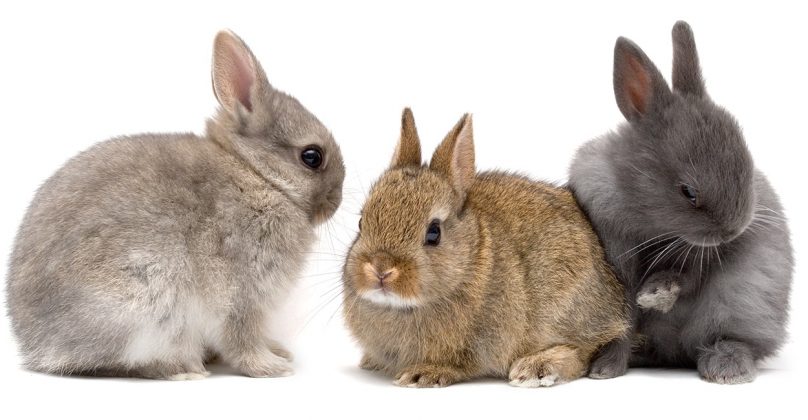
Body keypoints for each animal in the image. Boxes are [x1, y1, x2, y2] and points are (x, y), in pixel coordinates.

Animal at [6, 30, 345, 379]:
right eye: (312, 157)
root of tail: (36, 346)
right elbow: (241, 337)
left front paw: (279, 352)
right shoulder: (241, 293)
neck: (259, 175)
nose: (336, 201)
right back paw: (184, 369)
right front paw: (272, 366)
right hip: (145, 304)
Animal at [341, 108, 629, 388]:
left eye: (433, 233)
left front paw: (423, 374)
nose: (380, 269)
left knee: (583, 352)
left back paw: (535, 369)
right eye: (361, 222)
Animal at [568, 21, 793, 384]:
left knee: (733, 338)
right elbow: (623, 320)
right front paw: (605, 369)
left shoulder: (699, 255)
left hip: (745, 301)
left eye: (746, 159)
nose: (734, 230)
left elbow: (687, 280)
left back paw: (728, 368)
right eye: (688, 192)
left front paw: (657, 293)